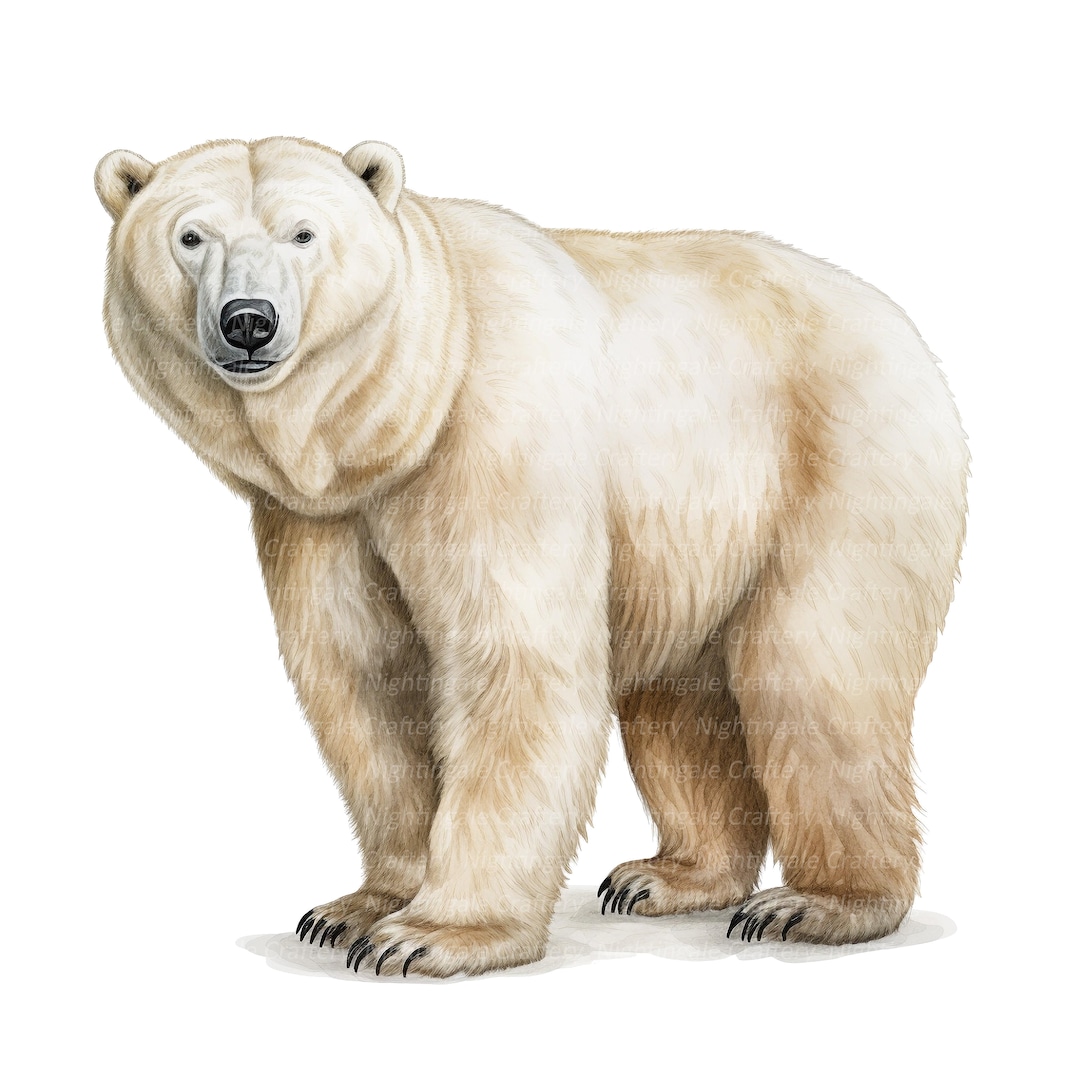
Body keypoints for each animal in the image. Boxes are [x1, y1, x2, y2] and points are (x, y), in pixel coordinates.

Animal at [96, 136, 968, 978]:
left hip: (841, 466)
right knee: (680, 701)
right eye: (190, 237)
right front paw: (357, 909)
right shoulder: (324, 520)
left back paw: (819, 902)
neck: (395, 416)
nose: (249, 320)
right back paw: (668, 876)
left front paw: (429, 937)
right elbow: (364, 676)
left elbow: (510, 660)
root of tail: (904, 328)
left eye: (304, 234)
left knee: (812, 674)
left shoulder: (495, 436)